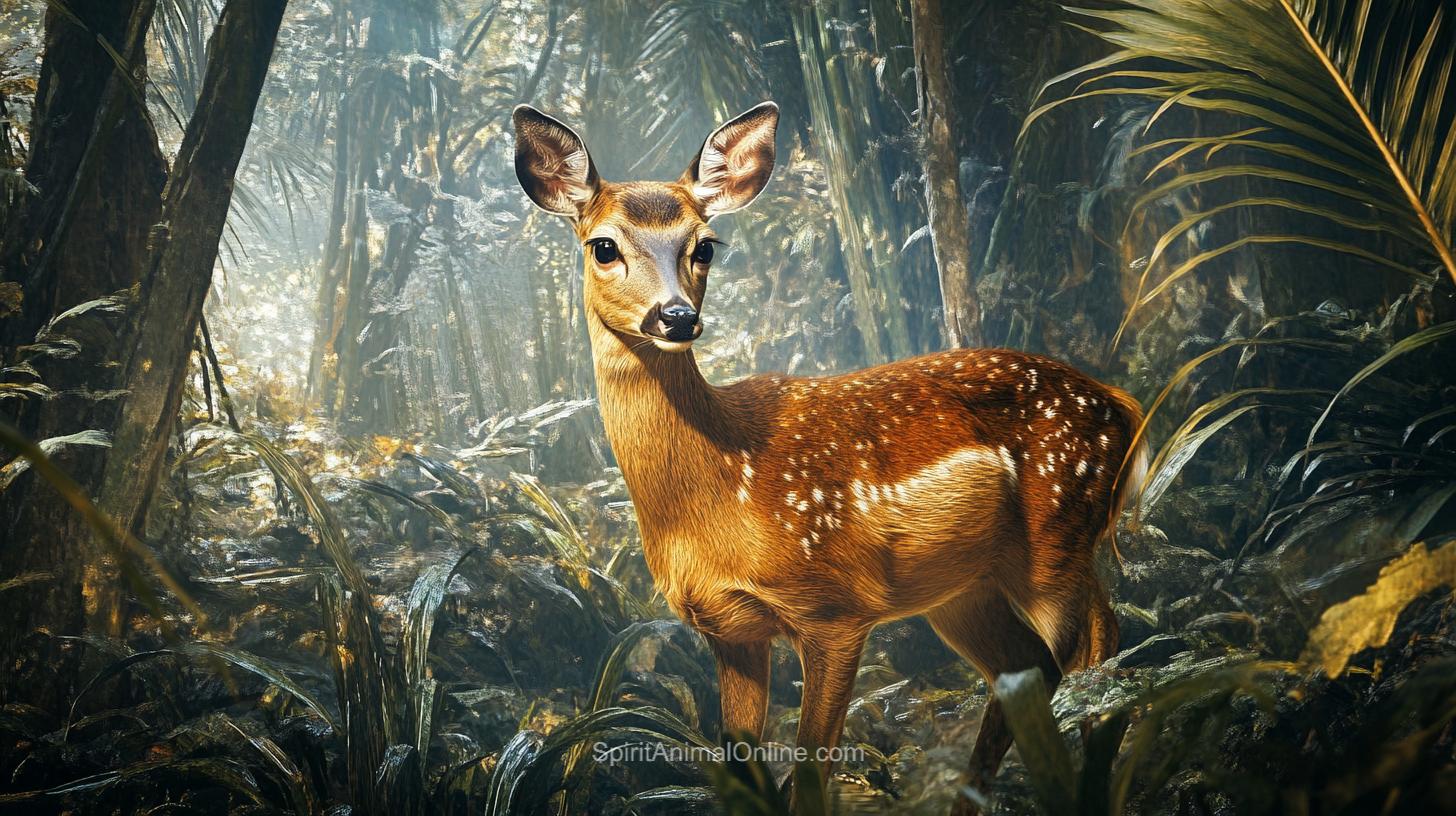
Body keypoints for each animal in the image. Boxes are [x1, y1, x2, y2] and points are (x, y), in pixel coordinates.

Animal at [512, 101, 1148, 813]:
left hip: (1057, 536)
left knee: (1097, 650)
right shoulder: (729, 630)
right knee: (1031, 668)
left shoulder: (835, 609)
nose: (675, 317)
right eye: (603, 246)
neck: (719, 490)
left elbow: (813, 773)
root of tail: (1126, 407)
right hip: (964, 588)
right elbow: (741, 767)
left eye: (704, 245)